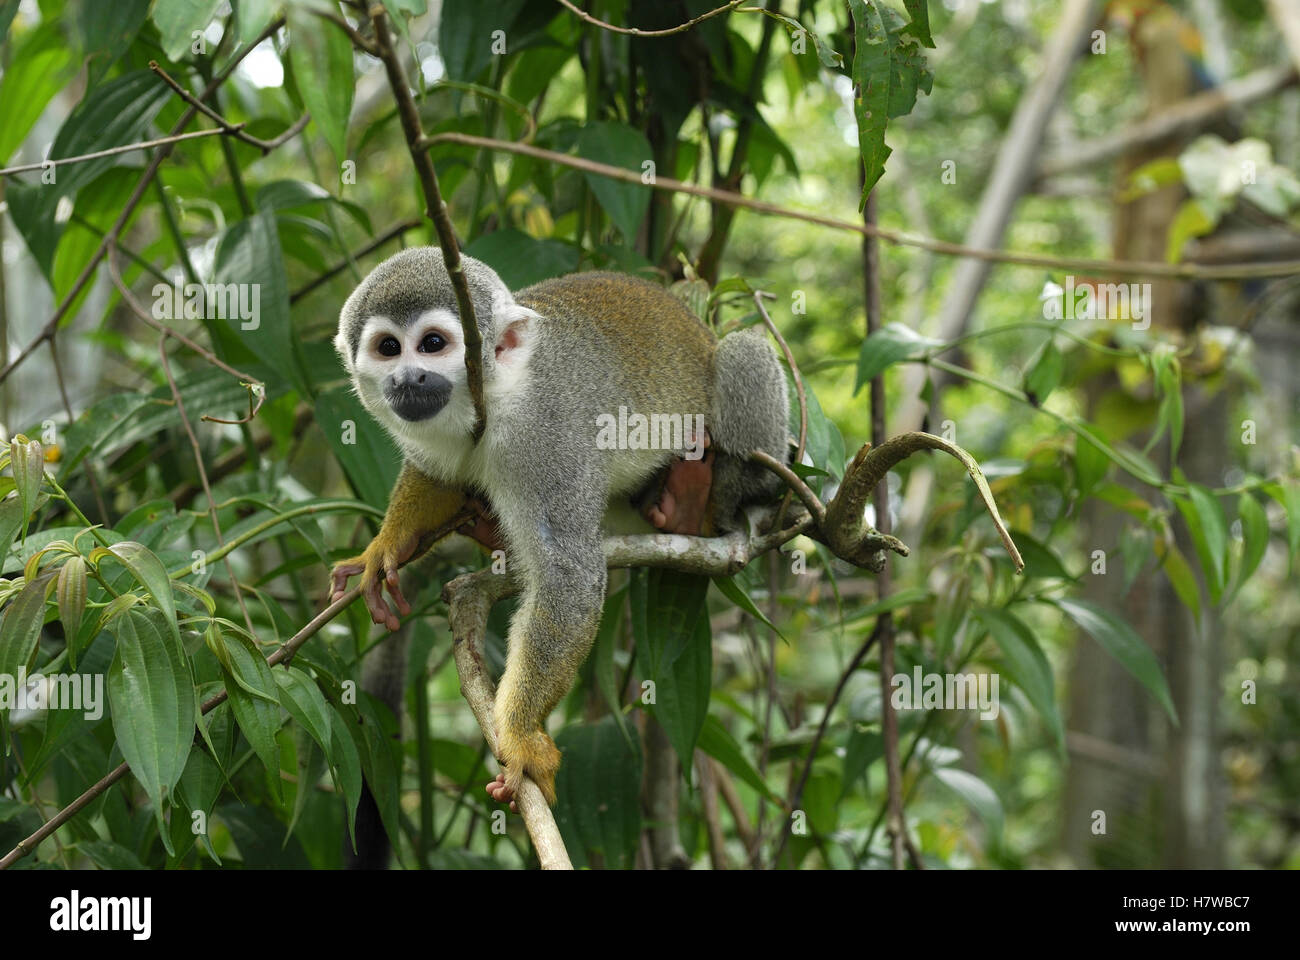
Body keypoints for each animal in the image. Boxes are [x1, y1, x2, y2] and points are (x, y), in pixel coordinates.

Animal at [329, 248, 790, 806]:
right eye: (389, 348)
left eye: (433, 344)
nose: (408, 379)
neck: (493, 400)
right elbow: (435, 475)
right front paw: (386, 547)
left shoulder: (547, 434)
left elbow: (567, 571)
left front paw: (522, 737)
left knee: (745, 352)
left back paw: (699, 505)